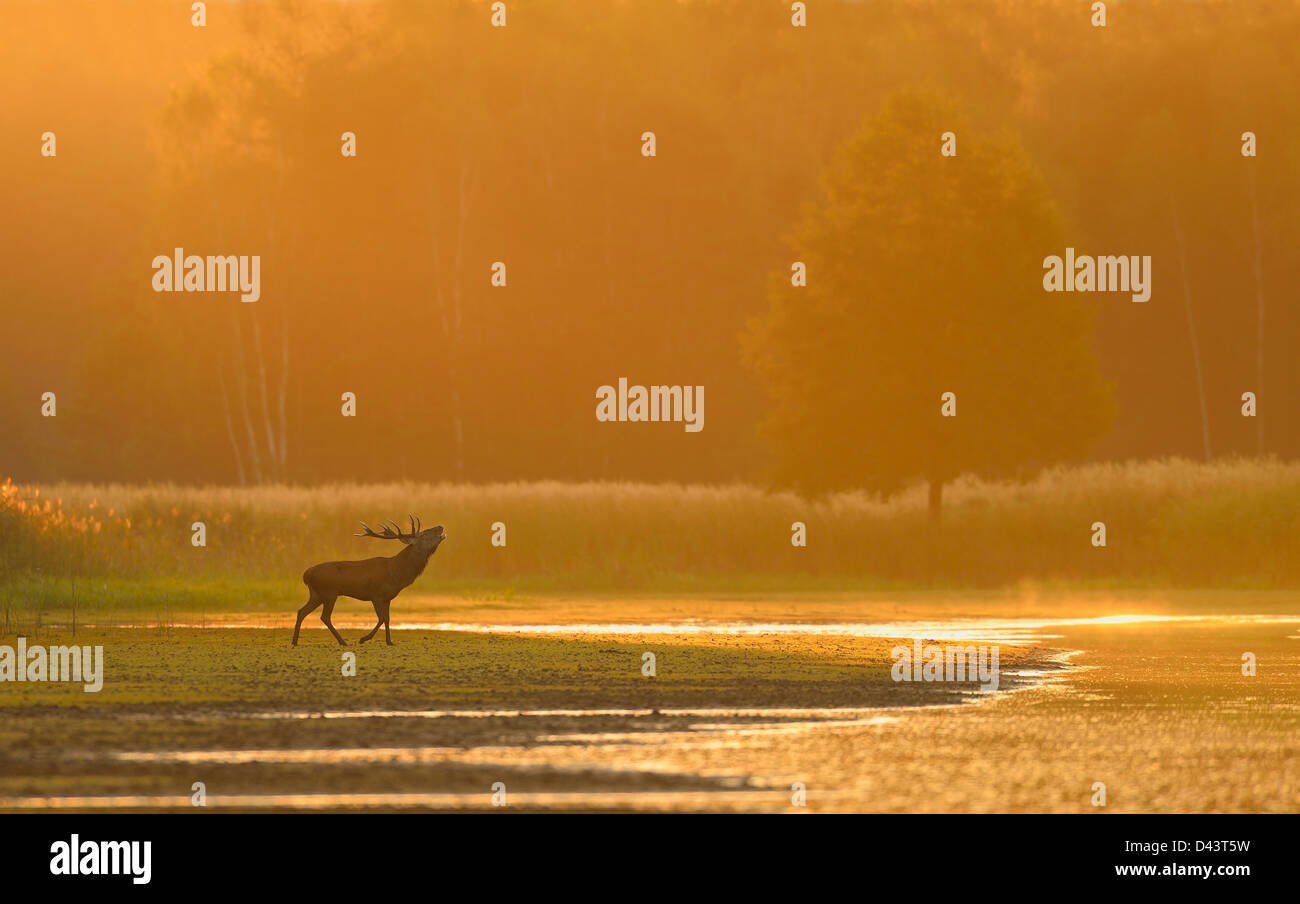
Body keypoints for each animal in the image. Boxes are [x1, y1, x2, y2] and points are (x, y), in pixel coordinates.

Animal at [292, 515, 447, 647]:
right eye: (424, 534)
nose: (440, 526)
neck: (396, 573)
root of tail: (306, 574)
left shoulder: (388, 597)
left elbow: (388, 618)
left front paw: (389, 641)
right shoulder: (376, 594)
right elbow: (382, 618)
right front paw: (363, 639)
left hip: (317, 594)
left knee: (302, 611)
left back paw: (295, 641)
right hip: (329, 593)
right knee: (324, 617)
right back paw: (342, 641)